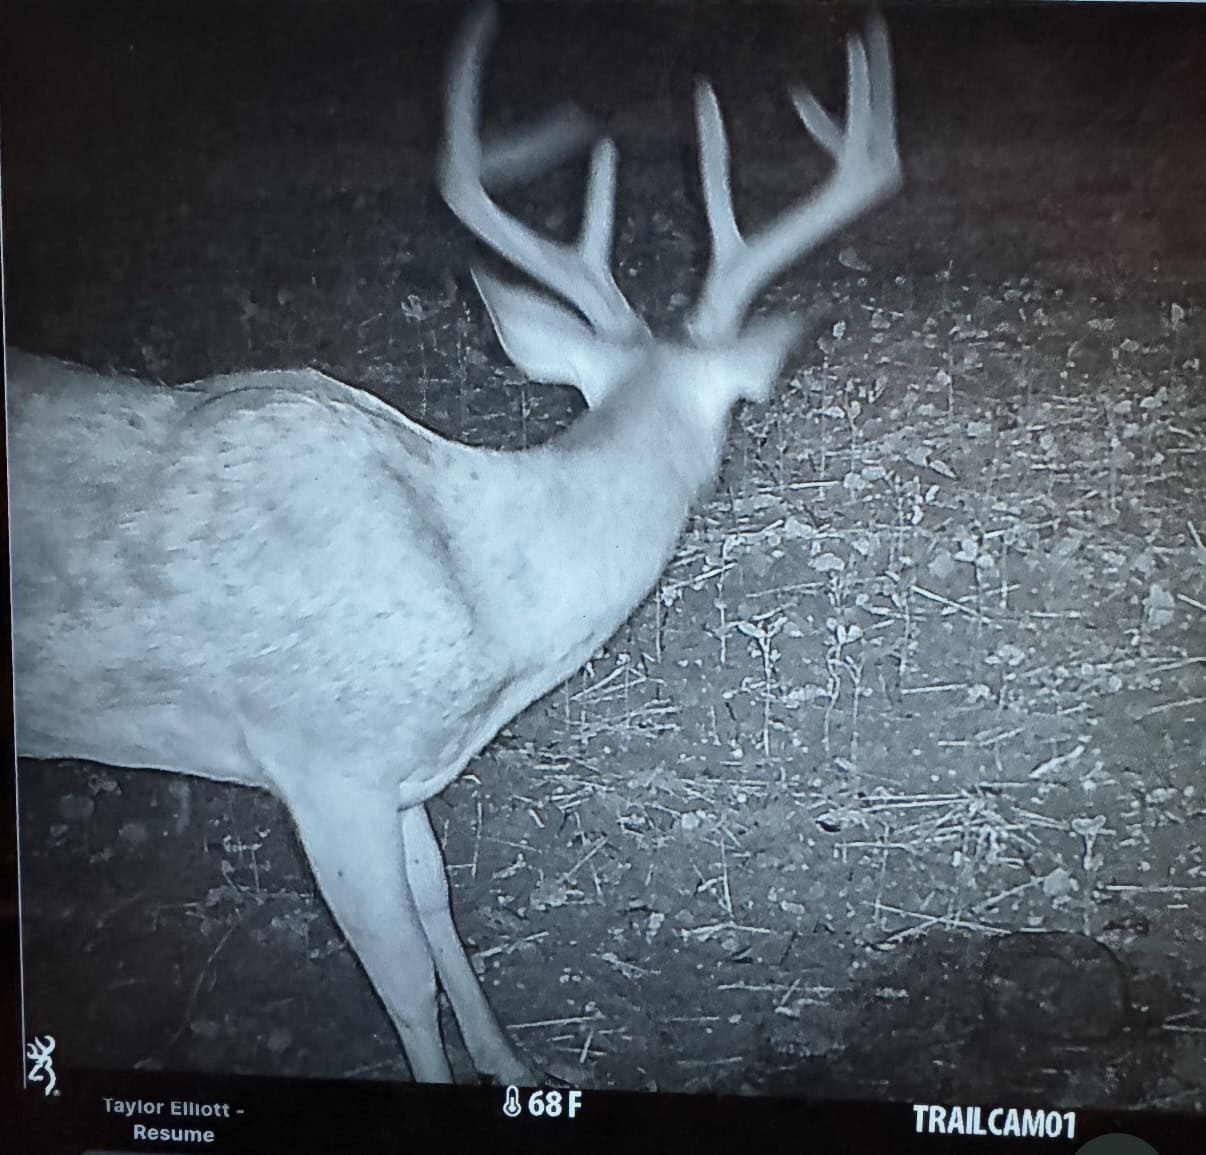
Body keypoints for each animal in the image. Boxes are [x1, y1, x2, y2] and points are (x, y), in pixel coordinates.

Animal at [7, 2, 900, 1085]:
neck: (482, 598)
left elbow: (437, 902)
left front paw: (514, 1065)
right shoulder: (325, 764)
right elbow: (398, 976)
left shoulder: (400, 773)